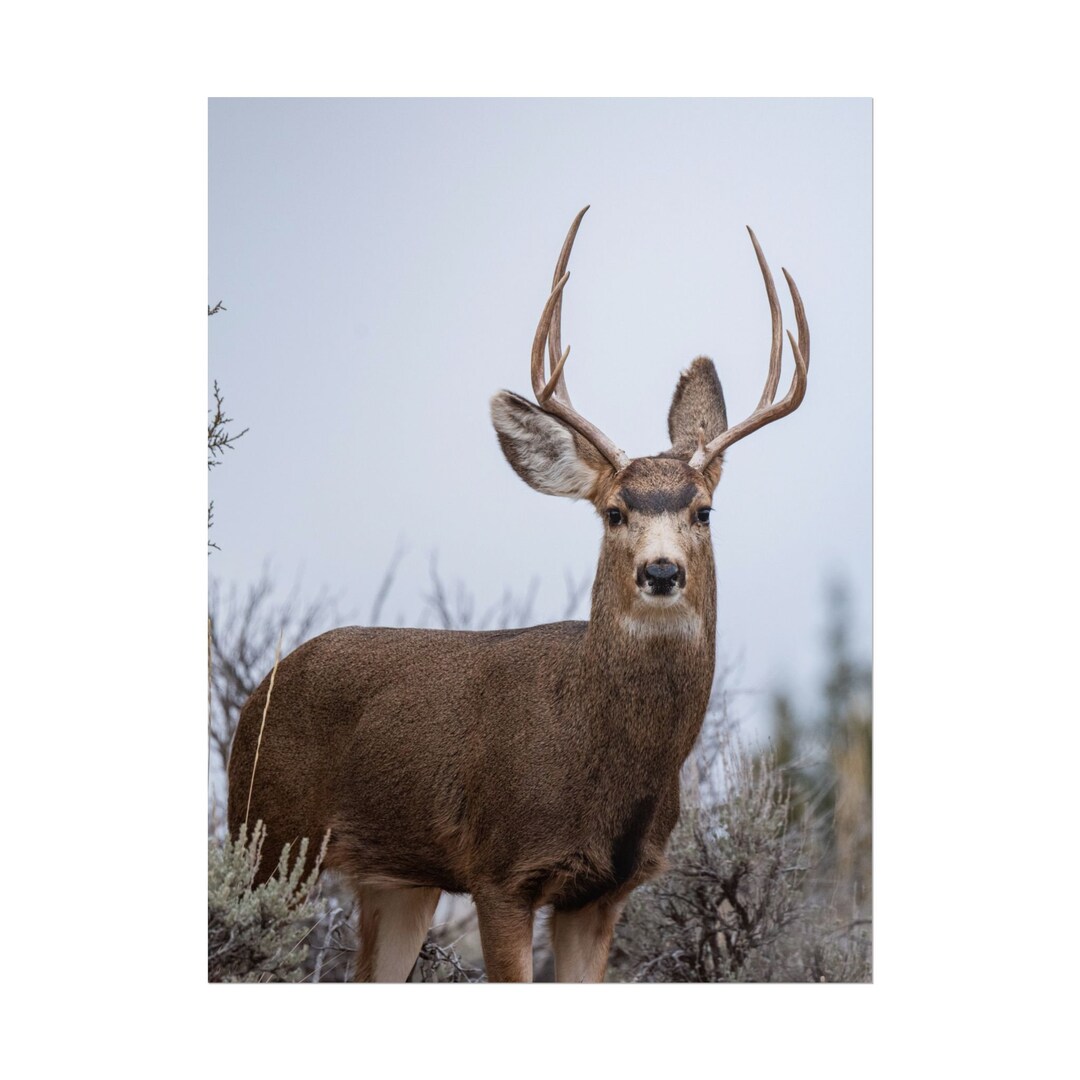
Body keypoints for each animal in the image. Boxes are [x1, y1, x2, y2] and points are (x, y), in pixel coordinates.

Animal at [226, 207, 809, 982]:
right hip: (265, 834)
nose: (660, 572)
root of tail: (258, 689)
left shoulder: (604, 891)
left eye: (704, 511)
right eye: (614, 511)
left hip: (396, 879)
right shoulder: (501, 868)